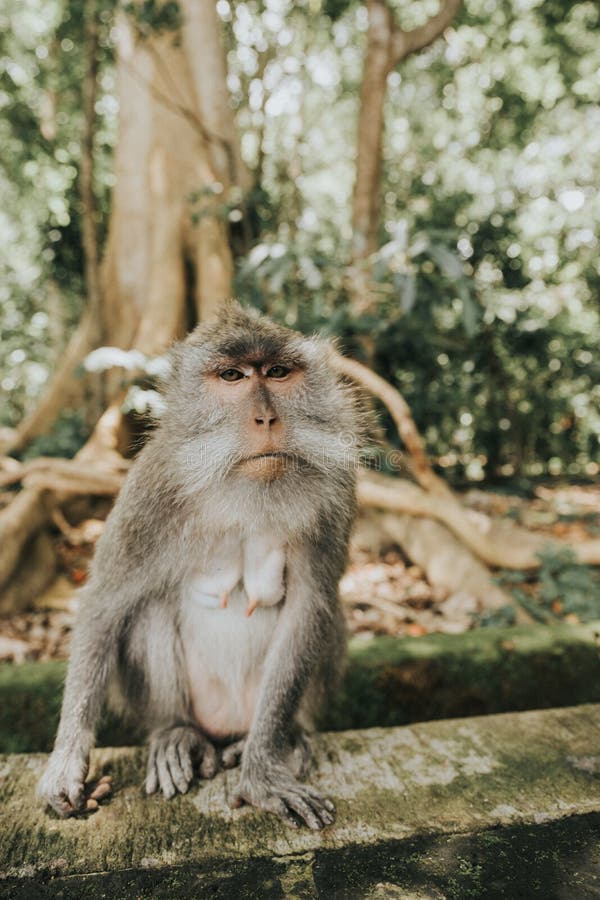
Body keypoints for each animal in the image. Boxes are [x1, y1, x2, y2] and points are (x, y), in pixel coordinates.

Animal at [37, 302, 363, 830]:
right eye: (232, 376)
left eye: (277, 372)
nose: (266, 417)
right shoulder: (153, 488)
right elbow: (105, 602)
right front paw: (65, 763)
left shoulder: (336, 487)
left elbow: (311, 606)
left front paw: (261, 770)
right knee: (145, 609)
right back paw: (177, 734)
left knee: (328, 614)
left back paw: (282, 736)